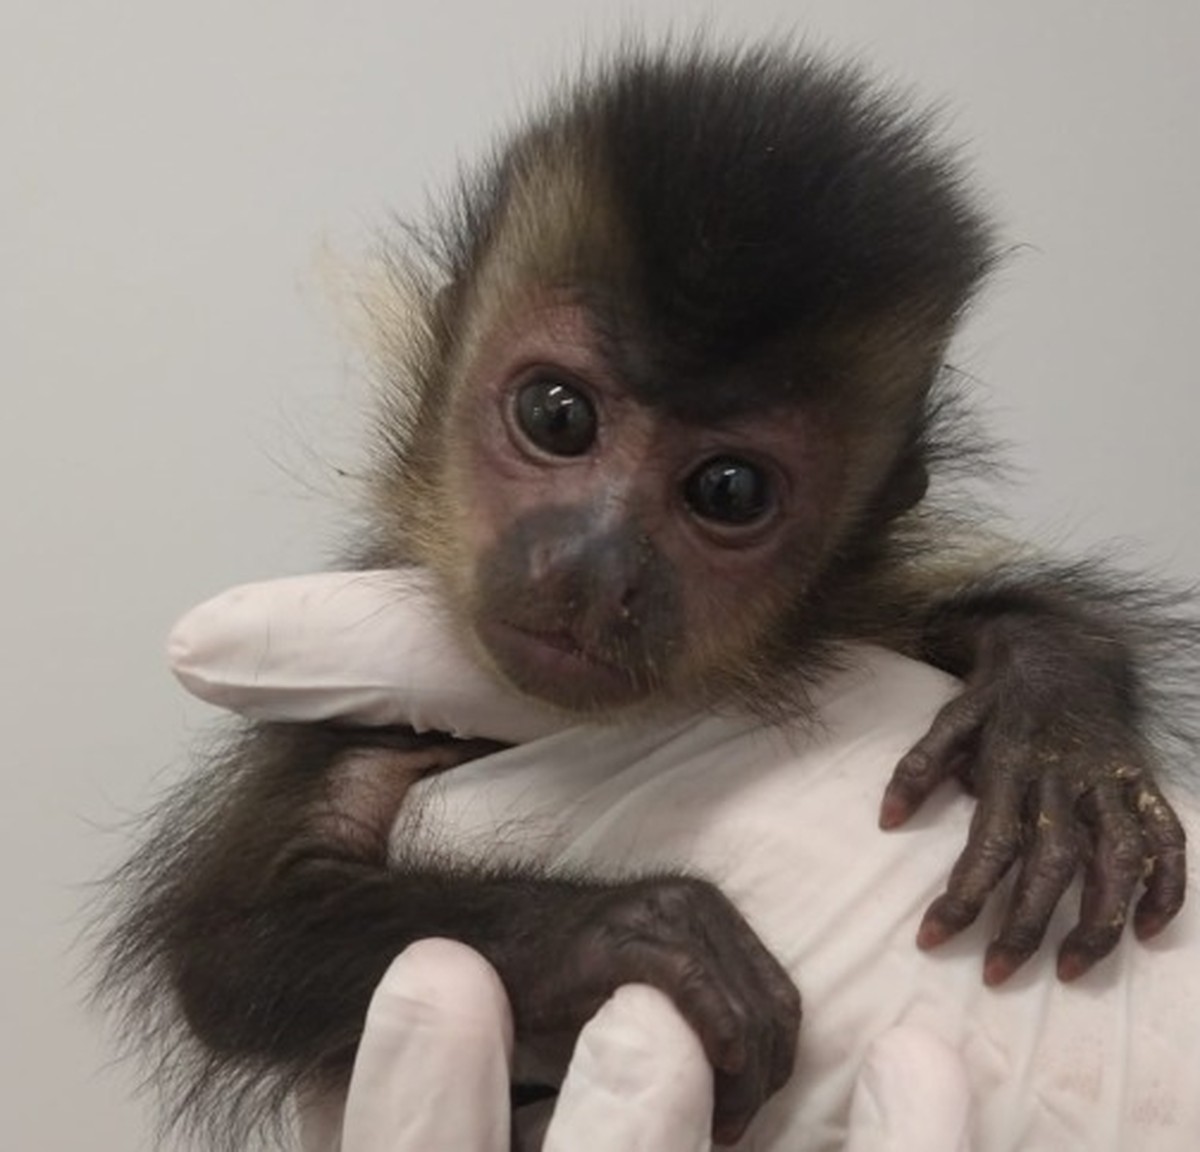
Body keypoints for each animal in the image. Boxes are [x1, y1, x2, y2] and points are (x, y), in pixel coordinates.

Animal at [96, 39, 1195, 1150]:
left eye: (729, 489)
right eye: (556, 413)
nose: (593, 563)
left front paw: (1054, 718)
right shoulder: (345, 704)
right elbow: (229, 946)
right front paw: (636, 930)